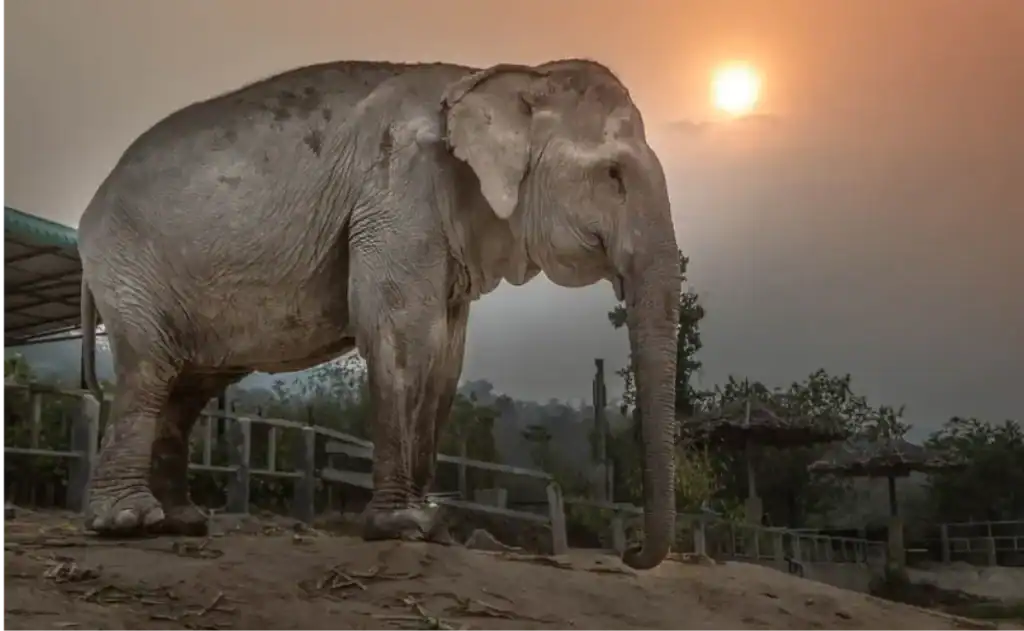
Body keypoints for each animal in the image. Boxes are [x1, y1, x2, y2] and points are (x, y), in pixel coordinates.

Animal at [77, 58, 681, 570]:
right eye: (613, 175)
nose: (628, 552)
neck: (501, 76)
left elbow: (447, 359)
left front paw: (432, 527)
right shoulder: (399, 194)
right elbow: (403, 333)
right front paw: (405, 526)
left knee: (190, 383)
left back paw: (181, 522)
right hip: (128, 265)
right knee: (151, 368)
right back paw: (130, 521)